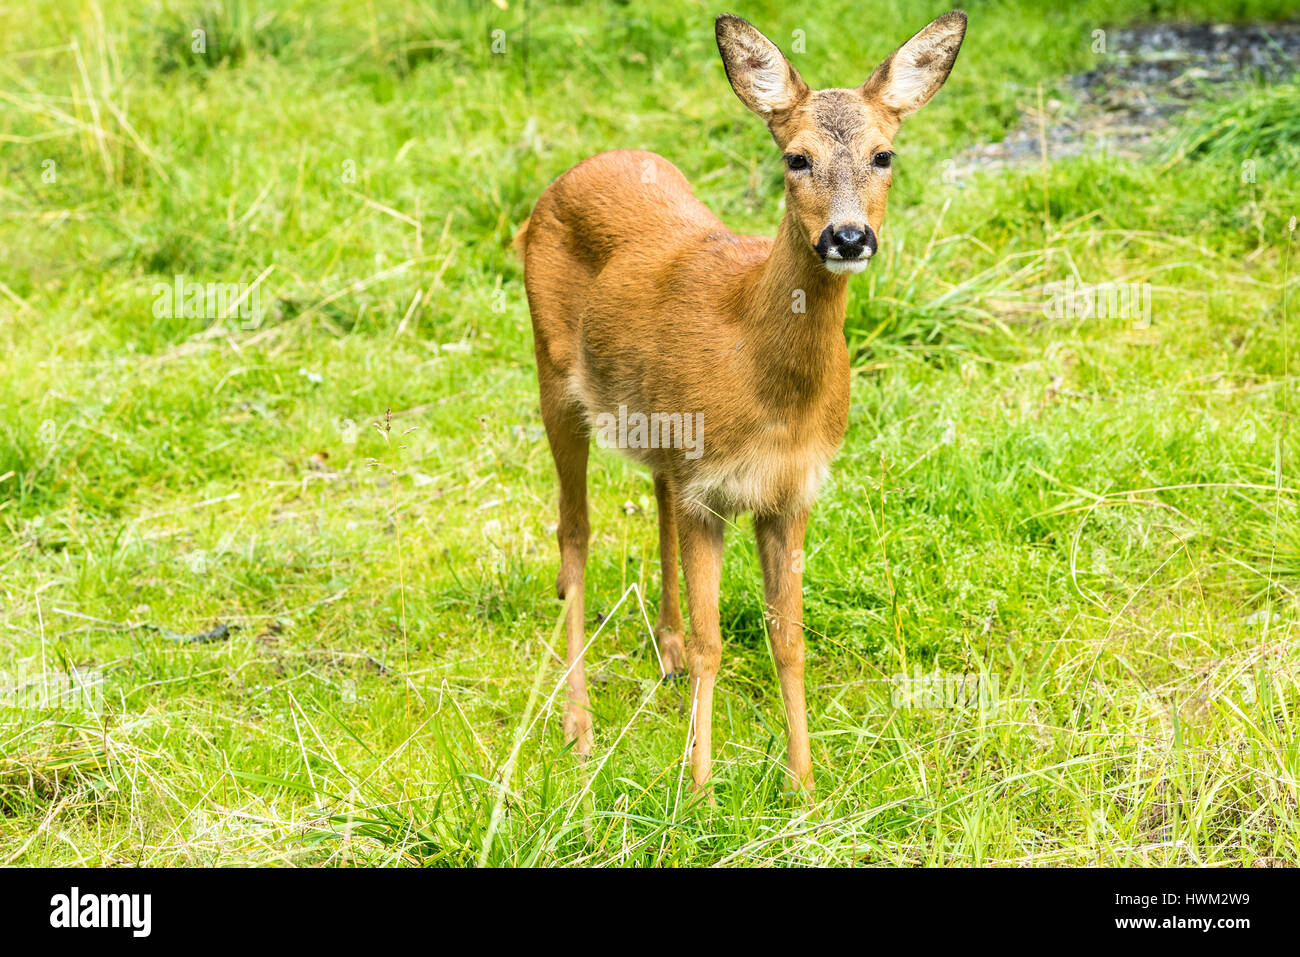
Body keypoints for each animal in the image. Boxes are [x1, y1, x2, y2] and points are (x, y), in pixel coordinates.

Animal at [516, 11, 967, 794]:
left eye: (884, 155)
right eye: (796, 158)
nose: (848, 236)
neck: (768, 384)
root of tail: (571, 175)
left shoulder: (791, 489)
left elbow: (788, 638)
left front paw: (805, 785)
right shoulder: (709, 487)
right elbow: (714, 641)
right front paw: (697, 788)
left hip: (658, 424)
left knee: (653, 493)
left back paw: (660, 652)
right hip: (554, 379)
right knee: (573, 537)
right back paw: (578, 727)